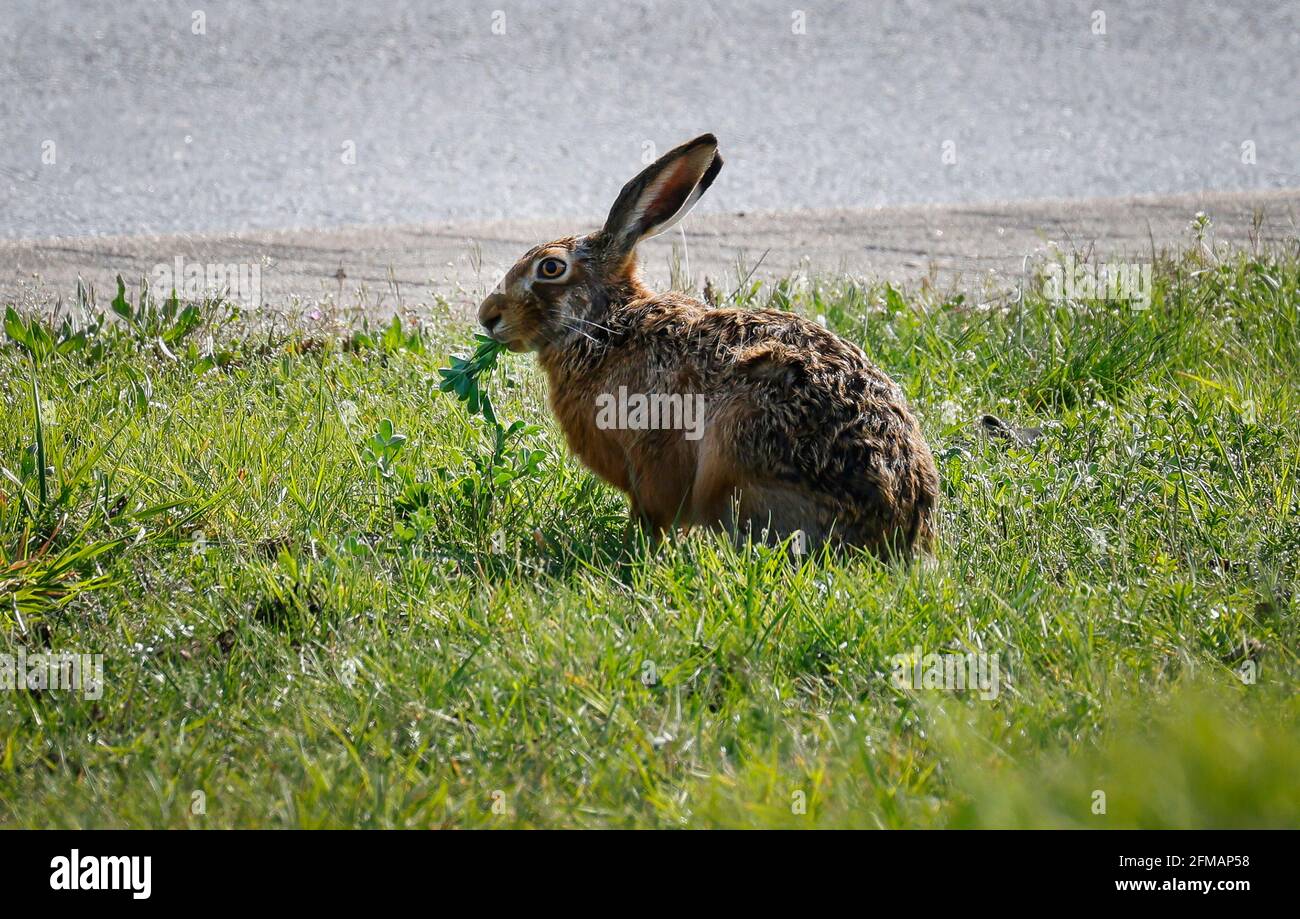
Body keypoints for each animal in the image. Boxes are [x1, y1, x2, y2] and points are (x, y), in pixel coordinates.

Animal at [477, 133, 939, 556]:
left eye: (551, 268)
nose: (487, 316)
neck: (605, 325)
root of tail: (898, 529)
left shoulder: (651, 455)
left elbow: (654, 511)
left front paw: (637, 550)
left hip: (738, 452)